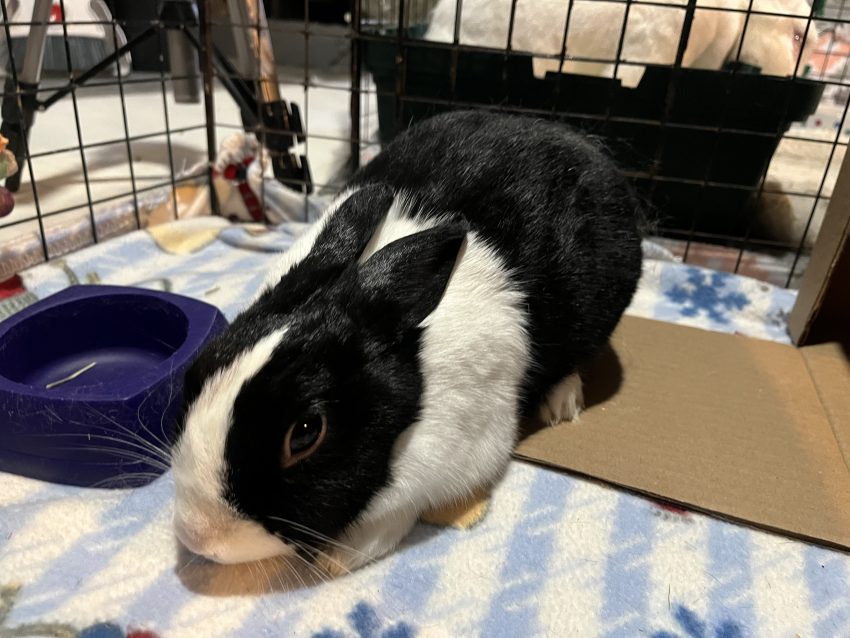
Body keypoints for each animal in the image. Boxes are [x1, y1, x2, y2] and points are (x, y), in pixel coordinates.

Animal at [170, 110, 643, 576]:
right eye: (197, 371)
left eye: (305, 434)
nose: (200, 537)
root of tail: (571, 137)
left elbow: (399, 512)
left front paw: (339, 559)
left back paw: (561, 403)